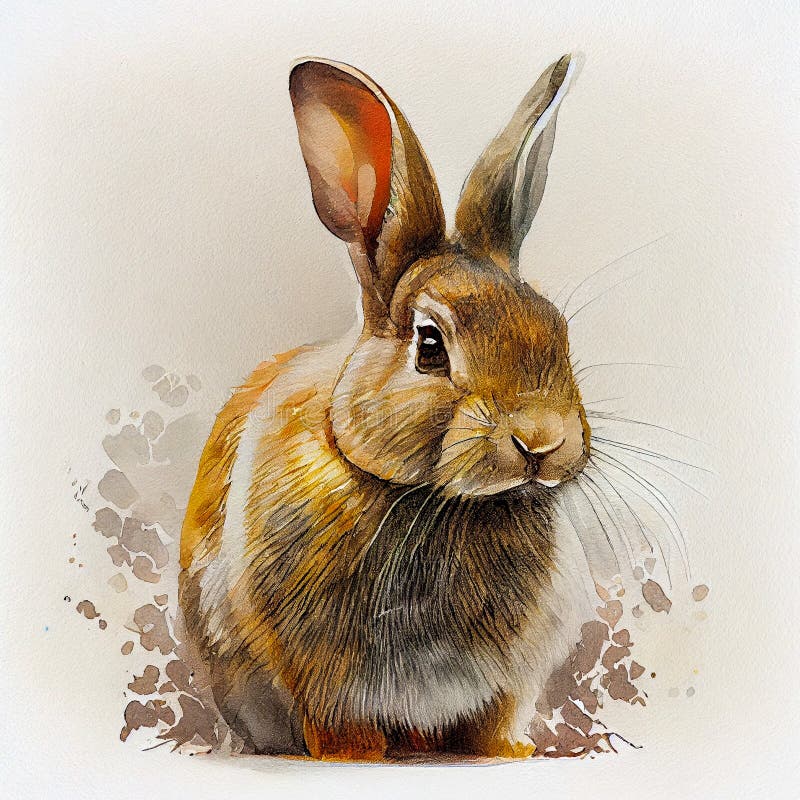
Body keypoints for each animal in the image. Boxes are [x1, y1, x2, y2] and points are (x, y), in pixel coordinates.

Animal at [179, 54, 595, 761]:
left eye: (557, 328)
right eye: (429, 344)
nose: (542, 441)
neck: (439, 503)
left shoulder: (508, 679)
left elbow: (492, 717)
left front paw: (509, 752)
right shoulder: (316, 670)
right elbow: (333, 716)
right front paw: (353, 755)